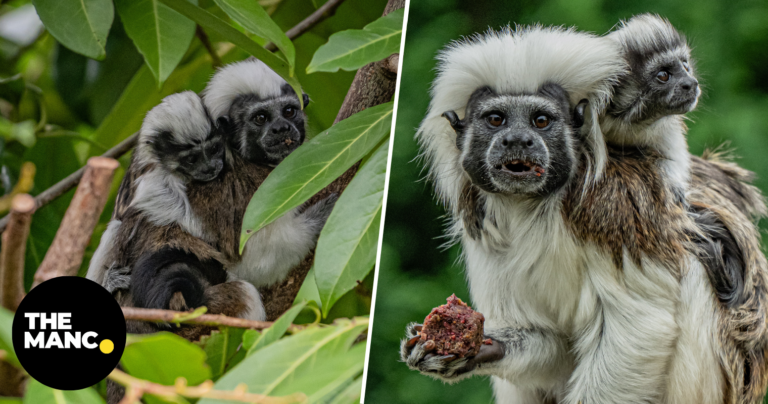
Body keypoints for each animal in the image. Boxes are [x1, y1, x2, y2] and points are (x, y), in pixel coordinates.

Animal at [398, 25, 742, 404]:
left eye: (541, 121)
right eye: (496, 119)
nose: (517, 140)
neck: (531, 206)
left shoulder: (613, 211)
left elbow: (640, 328)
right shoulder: (484, 222)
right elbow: (555, 345)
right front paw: (475, 349)